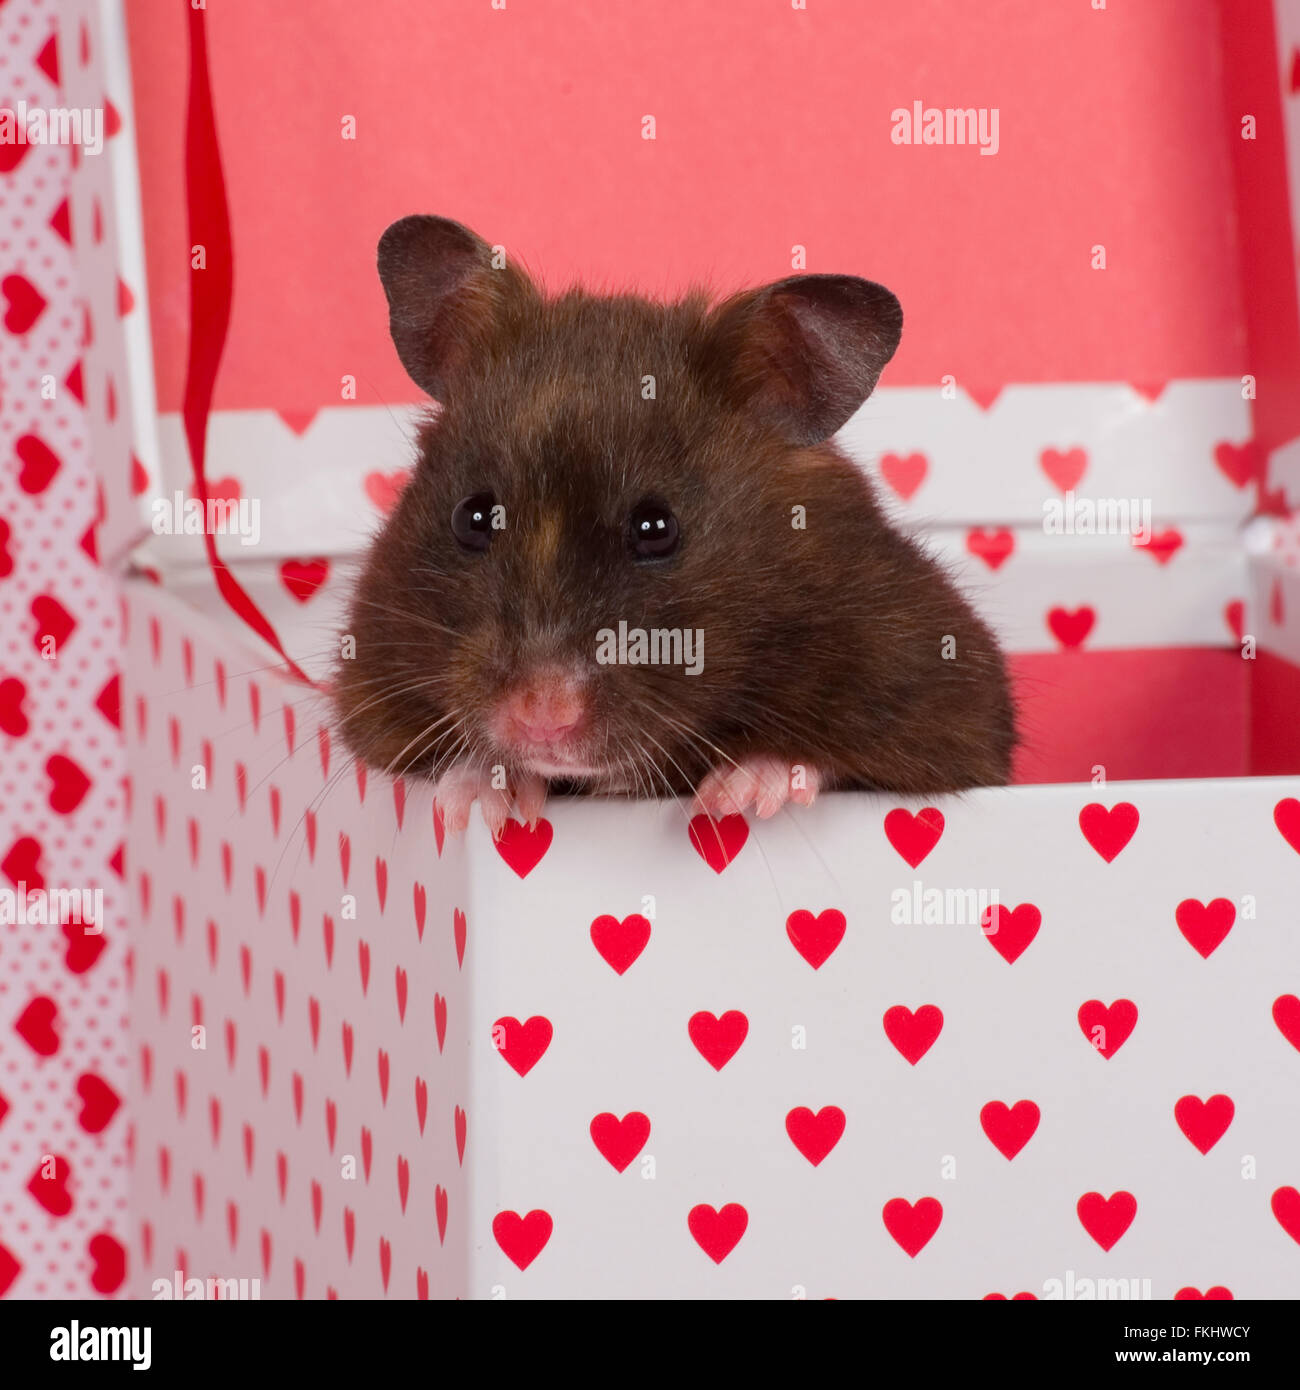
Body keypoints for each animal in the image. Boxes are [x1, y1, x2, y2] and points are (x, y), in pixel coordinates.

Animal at [333, 215, 1015, 832]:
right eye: (472, 518)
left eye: (657, 529)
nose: (540, 716)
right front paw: (479, 801)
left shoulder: (952, 707)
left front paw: (739, 791)